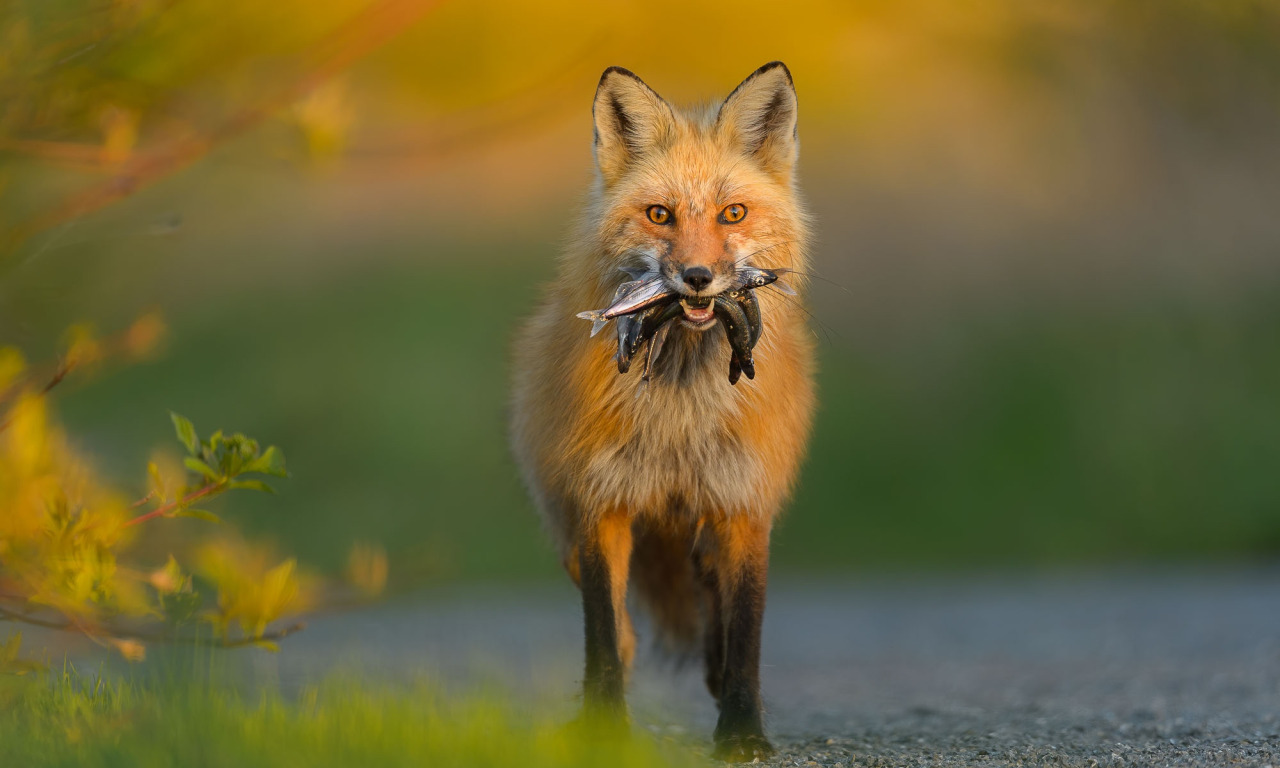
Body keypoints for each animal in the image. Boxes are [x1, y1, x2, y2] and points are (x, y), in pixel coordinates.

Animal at [509, 61, 815, 761]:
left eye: (733, 213)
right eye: (659, 214)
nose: (699, 279)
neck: (680, 410)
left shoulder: (743, 506)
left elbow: (745, 634)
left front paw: (742, 733)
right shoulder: (599, 506)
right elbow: (603, 641)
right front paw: (602, 730)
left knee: (713, 623)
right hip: (569, 534)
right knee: (622, 635)